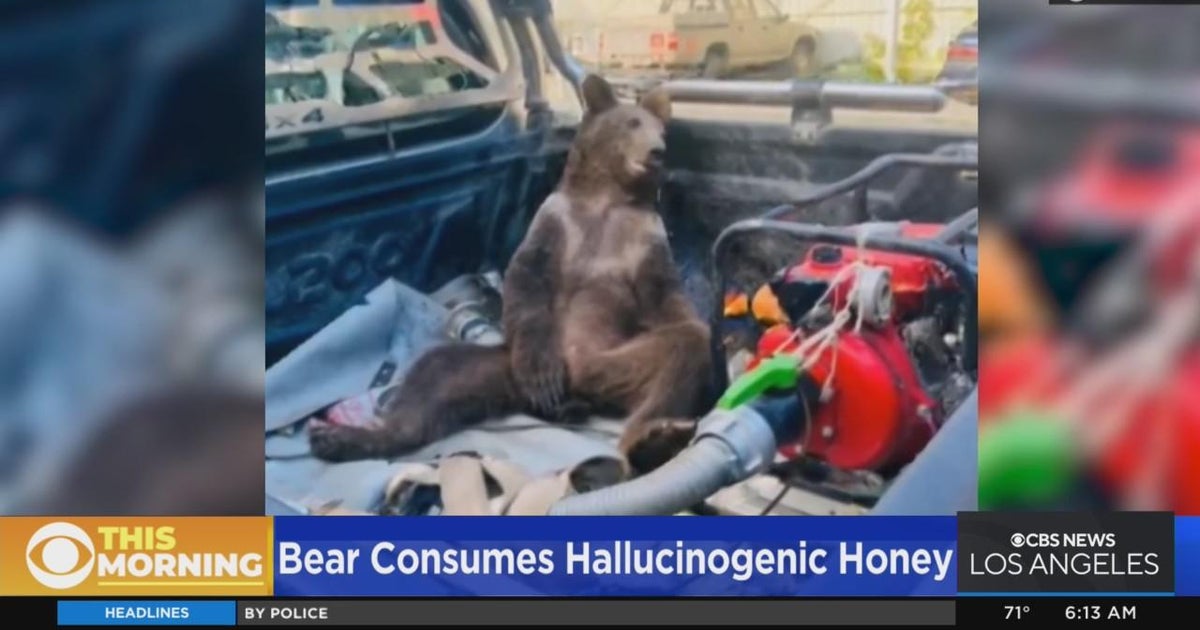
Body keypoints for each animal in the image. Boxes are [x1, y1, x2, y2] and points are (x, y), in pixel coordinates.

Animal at [308, 74, 713, 474]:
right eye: (631, 123)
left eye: (660, 129)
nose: (656, 150)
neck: (607, 200)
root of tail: (580, 391)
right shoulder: (555, 222)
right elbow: (528, 279)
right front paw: (543, 375)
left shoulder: (644, 239)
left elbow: (666, 296)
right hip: (501, 366)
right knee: (434, 377)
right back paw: (341, 438)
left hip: (613, 361)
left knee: (681, 352)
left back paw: (651, 439)